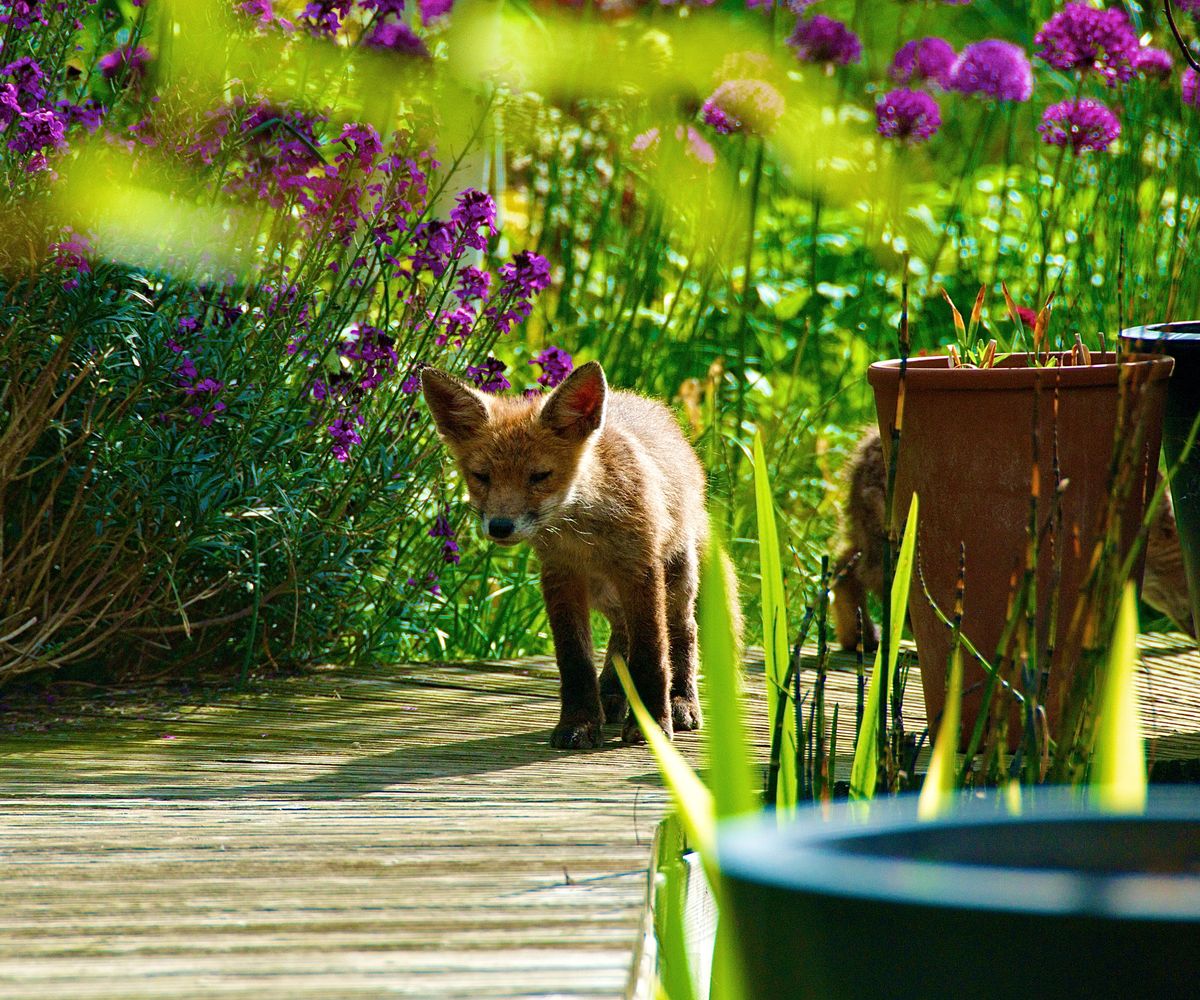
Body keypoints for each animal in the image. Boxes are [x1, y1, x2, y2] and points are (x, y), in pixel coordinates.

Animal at [421, 360, 729, 749]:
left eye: (539, 476)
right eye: (482, 476)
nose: (500, 527)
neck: (585, 534)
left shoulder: (640, 570)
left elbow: (652, 653)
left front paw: (651, 726)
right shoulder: (561, 575)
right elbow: (575, 660)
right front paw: (579, 723)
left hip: (675, 580)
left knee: (682, 632)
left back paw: (679, 701)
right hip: (604, 593)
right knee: (620, 636)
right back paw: (611, 694)